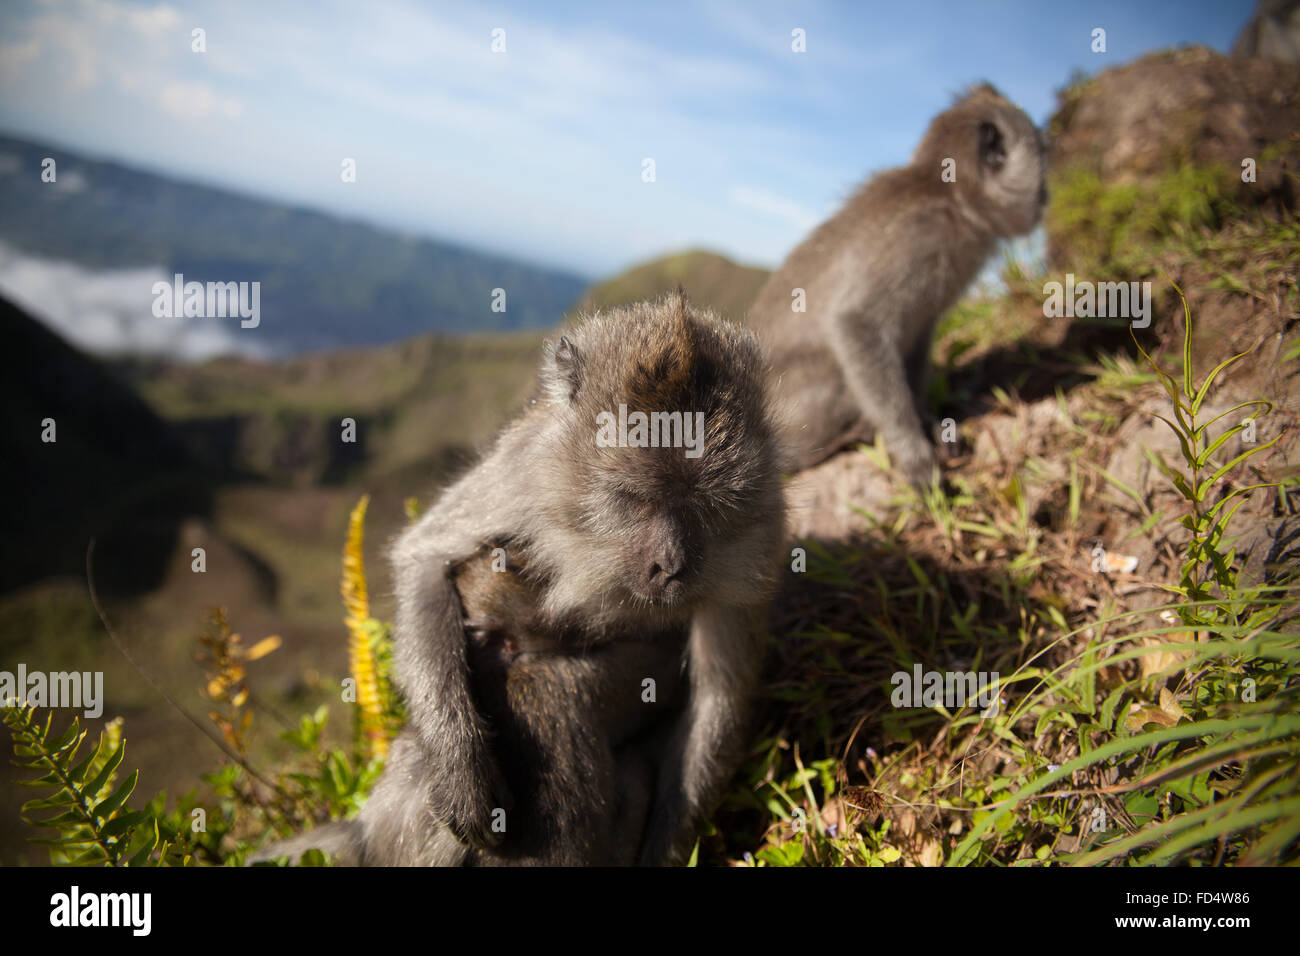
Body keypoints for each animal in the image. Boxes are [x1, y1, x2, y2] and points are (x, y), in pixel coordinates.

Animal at [252, 293, 787, 866]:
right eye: (632, 497)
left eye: (705, 502)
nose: (671, 565)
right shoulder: (527, 470)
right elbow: (425, 556)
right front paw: (462, 770)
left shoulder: (763, 521)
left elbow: (717, 695)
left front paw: (664, 852)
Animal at [747, 83, 1048, 485]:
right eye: (1042, 151)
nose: (1045, 195)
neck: (952, 201)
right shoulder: (916, 238)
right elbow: (855, 322)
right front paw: (911, 447)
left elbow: (921, 332)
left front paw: (925, 419)